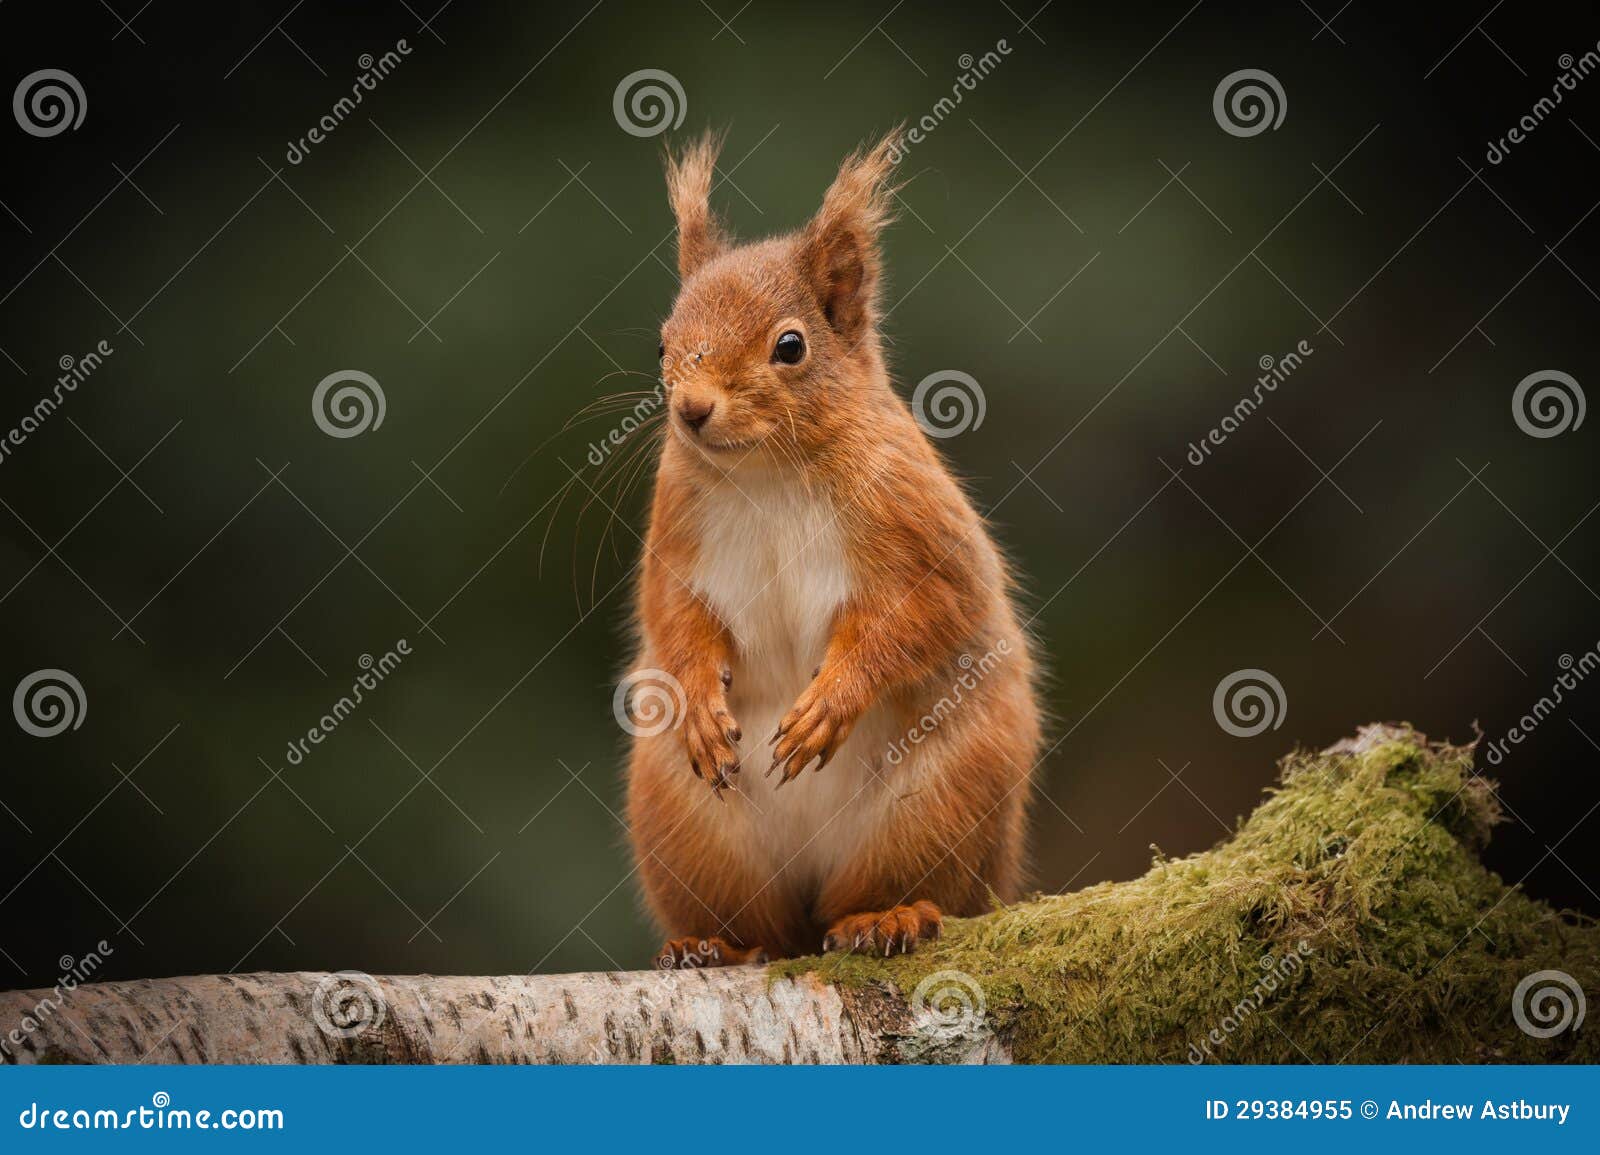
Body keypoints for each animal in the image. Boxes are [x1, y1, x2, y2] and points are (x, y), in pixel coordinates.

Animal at [624, 130, 1042, 966]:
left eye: (791, 345)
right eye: (662, 342)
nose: (691, 409)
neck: (770, 471)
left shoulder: (917, 520)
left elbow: (927, 612)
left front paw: (831, 700)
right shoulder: (676, 533)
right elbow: (674, 618)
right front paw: (702, 705)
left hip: (942, 797)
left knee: (885, 892)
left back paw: (887, 917)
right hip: (683, 815)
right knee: (764, 926)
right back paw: (712, 944)